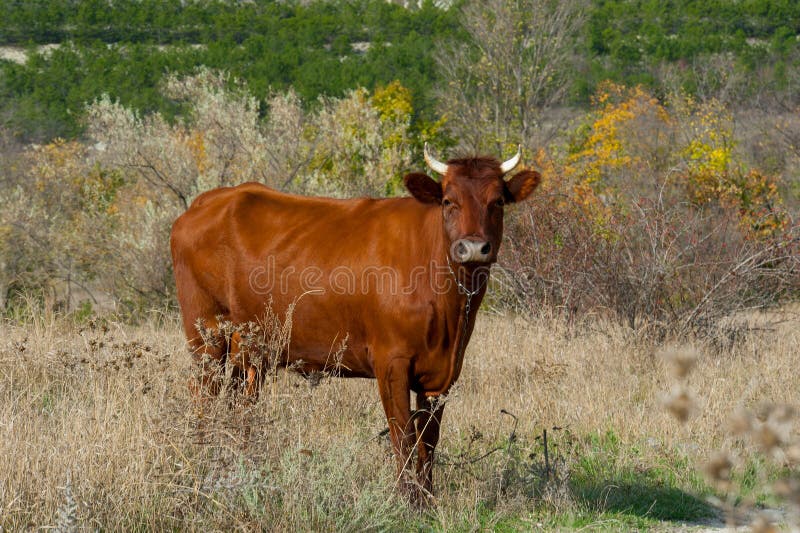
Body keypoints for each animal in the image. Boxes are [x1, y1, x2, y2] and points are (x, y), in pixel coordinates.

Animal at [170, 144, 541, 503]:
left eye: (497, 201)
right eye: (449, 201)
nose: (474, 248)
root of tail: (214, 198)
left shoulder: (443, 374)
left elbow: (429, 441)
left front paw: (428, 501)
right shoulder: (391, 362)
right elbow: (403, 435)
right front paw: (408, 503)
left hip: (249, 348)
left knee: (238, 405)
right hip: (206, 334)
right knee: (203, 398)